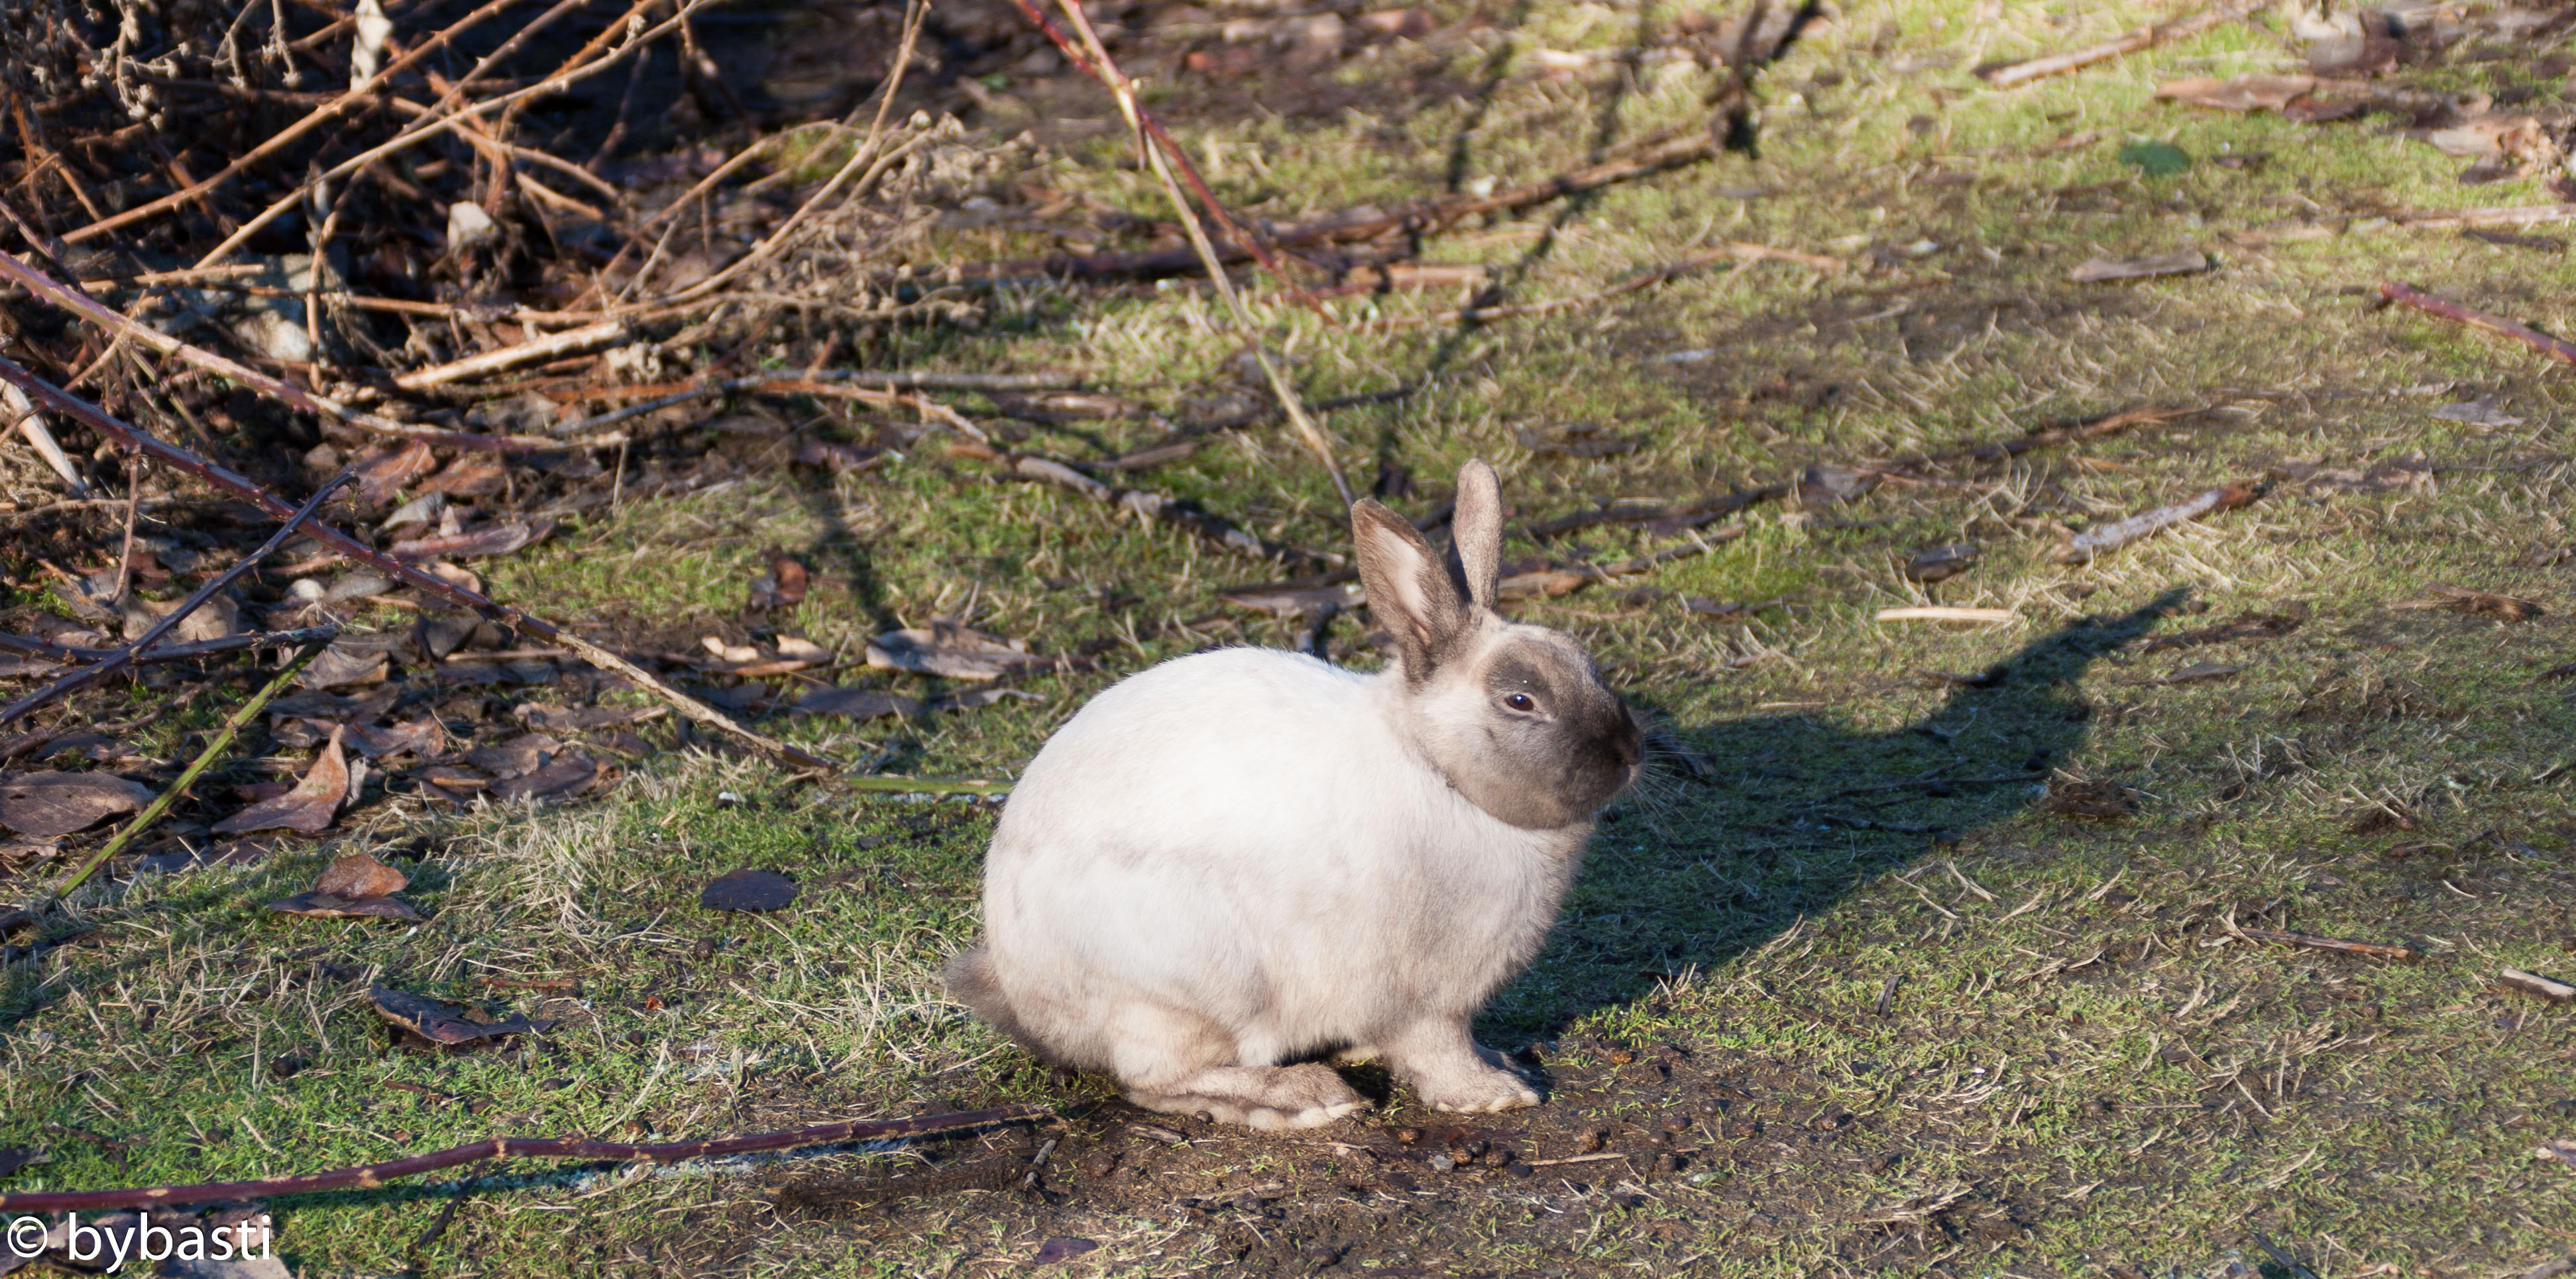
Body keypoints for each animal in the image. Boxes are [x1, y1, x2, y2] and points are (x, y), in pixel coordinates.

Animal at [946, 459, 1641, 1130]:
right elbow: (1435, 1048)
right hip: (1183, 993)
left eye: (1587, 664)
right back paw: (1305, 1098)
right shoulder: (1421, 999)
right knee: (1153, 1080)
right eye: (1519, 700)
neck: (1435, 768)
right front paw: (1493, 1093)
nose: (1629, 753)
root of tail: (1021, 986)